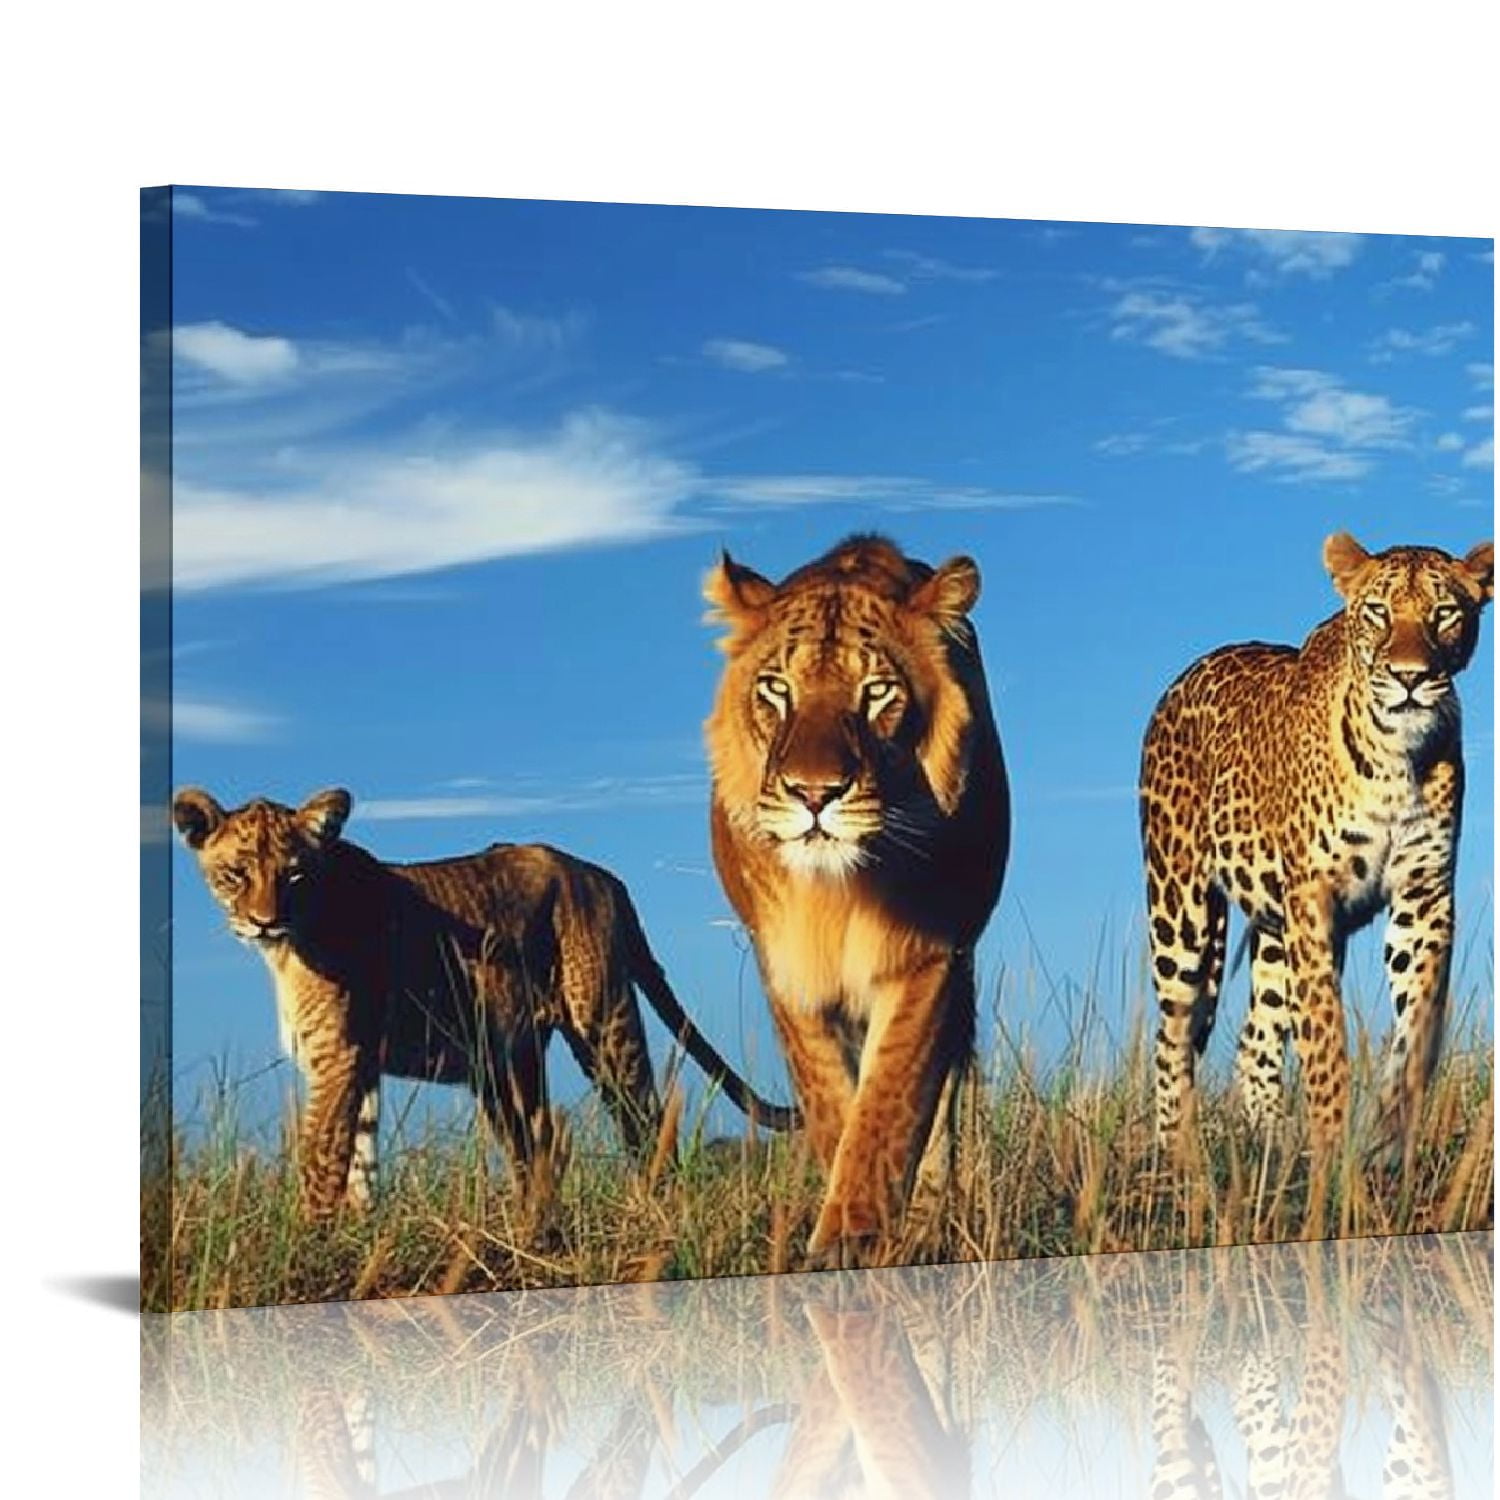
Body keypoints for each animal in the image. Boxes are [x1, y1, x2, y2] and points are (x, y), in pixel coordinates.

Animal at [172, 786, 796, 1217]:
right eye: (235, 874)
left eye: (295, 875)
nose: (263, 921)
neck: (286, 951)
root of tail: (602, 874)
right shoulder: (362, 1064)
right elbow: (361, 1160)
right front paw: (358, 1232)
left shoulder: (339, 1056)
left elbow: (321, 1157)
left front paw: (310, 1236)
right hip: (507, 1062)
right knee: (540, 1143)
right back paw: (531, 1226)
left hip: (603, 1024)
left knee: (643, 1117)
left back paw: (648, 1208)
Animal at [702, 533, 1010, 1257]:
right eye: (777, 689)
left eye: (876, 693)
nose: (814, 794)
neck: (839, 888)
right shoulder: (786, 966)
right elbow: (827, 1101)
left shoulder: (929, 954)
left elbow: (891, 1099)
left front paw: (858, 1229)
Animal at [1139, 533, 1492, 1172]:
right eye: (1377, 612)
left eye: (1445, 613)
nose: (1410, 678)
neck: (1396, 758)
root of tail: (1184, 675)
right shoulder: (1313, 897)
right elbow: (1325, 1036)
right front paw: (1332, 1144)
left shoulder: (1425, 895)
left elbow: (1419, 1023)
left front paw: (1388, 1134)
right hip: (1181, 912)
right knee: (1173, 1037)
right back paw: (1177, 1158)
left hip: (1273, 932)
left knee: (1255, 1039)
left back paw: (1272, 1149)